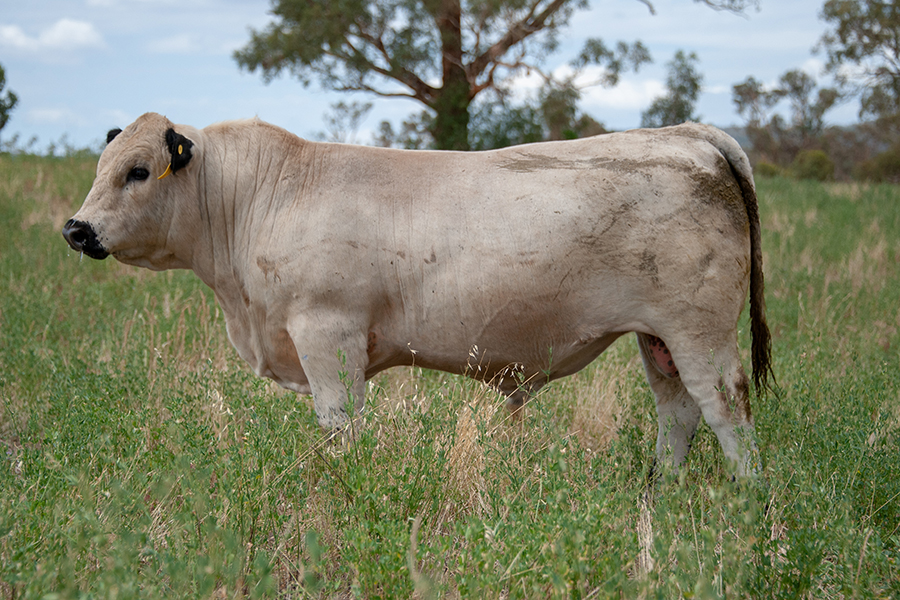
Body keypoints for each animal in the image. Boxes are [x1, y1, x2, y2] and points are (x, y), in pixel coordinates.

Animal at [63, 112, 773, 476]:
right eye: (101, 168)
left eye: (138, 171)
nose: (77, 228)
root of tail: (687, 134)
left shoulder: (326, 331)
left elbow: (339, 424)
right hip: (658, 340)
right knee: (678, 414)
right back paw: (663, 491)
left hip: (698, 330)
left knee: (726, 411)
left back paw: (741, 502)